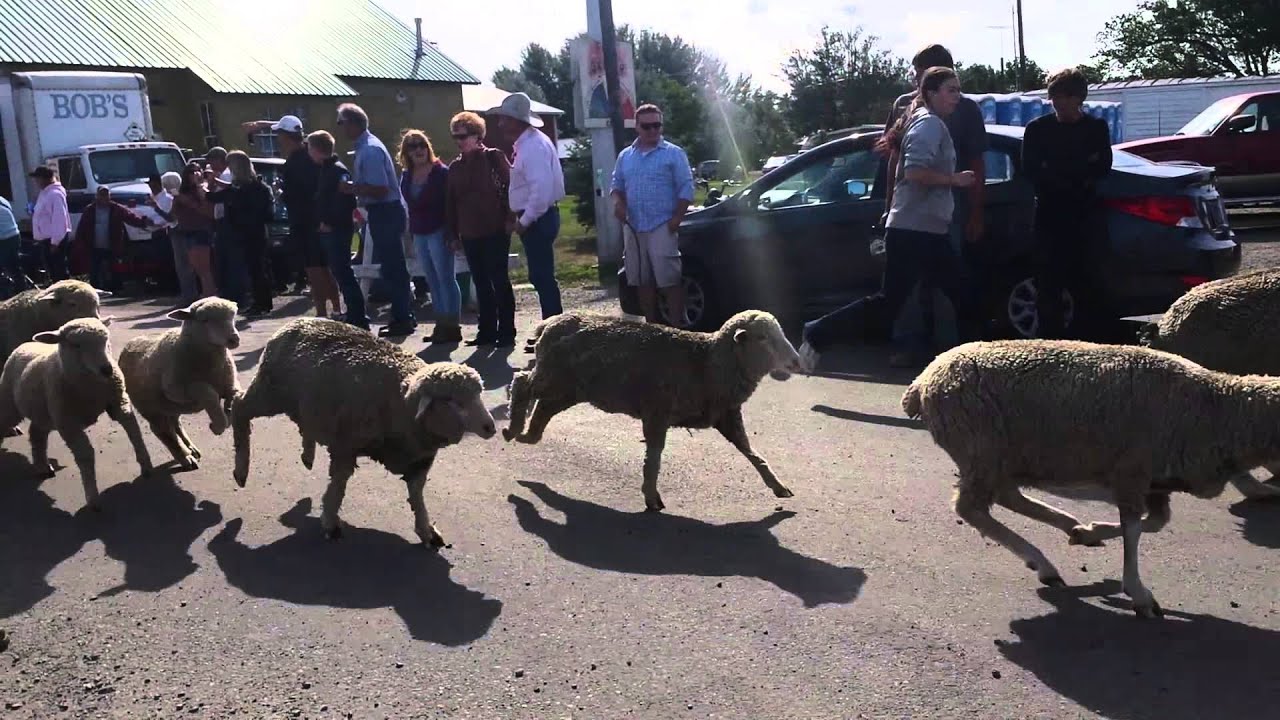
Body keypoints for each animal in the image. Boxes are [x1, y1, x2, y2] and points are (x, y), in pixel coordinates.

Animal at [0, 317, 153, 510]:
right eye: (75, 345)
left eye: (105, 340)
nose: (107, 369)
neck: (90, 388)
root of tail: (25, 343)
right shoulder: (68, 423)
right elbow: (86, 455)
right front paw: (92, 498)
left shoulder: (118, 402)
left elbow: (134, 431)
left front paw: (146, 465)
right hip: (10, 403)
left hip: (44, 412)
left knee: (37, 434)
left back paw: (43, 467)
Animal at [118, 298, 242, 471]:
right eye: (204, 320)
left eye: (232, 316)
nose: (234, 339)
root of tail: (129, 344)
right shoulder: (176, 389)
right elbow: (206, 391)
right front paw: (217, 426)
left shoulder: (230, 383)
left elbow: (234, 395)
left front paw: (228, 413)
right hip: (149, 407)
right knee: (162, 431)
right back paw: (184, 457)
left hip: (169, 407)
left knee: (175, 424)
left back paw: (191, 449)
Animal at [229, 317, 497, 547]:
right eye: (454, 402)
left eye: (478, 394)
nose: (490, 427)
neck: (402, 397)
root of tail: (296, 322)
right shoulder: (345, 445)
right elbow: (338, 486)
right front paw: (330, 522)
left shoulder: (419, 459)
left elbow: (417, 496)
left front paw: (427, 531)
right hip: (270, 391)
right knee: (238, 407)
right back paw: (241, 470)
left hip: (304, 402)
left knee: (304, 425)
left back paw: (307, 455)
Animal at [503, 309, 806, 512]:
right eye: (763, 338)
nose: (796, 362)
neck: (708, 361)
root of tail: (552, 321)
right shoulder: (657, 414)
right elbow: (654, 460)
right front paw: (651, 496)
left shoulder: (726, 416)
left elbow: (752, 453)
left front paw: (778, 486)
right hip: (554, 376)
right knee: (522, 383)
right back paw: (512, 427)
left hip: (568, 388)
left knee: (543, 406)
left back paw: (528, 435)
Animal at [901, 339, 1280, 618]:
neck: (1218, 410)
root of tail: (922, 382)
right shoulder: (1132, 471)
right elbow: (1134, 529)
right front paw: (1139, 593)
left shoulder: (1154, 481)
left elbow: (1154, 522)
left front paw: (1090, 533)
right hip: (982, 448)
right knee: (971, 509)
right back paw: (1043, 562)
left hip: (1007, 457)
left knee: (1008, 497)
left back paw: (1069, 527)